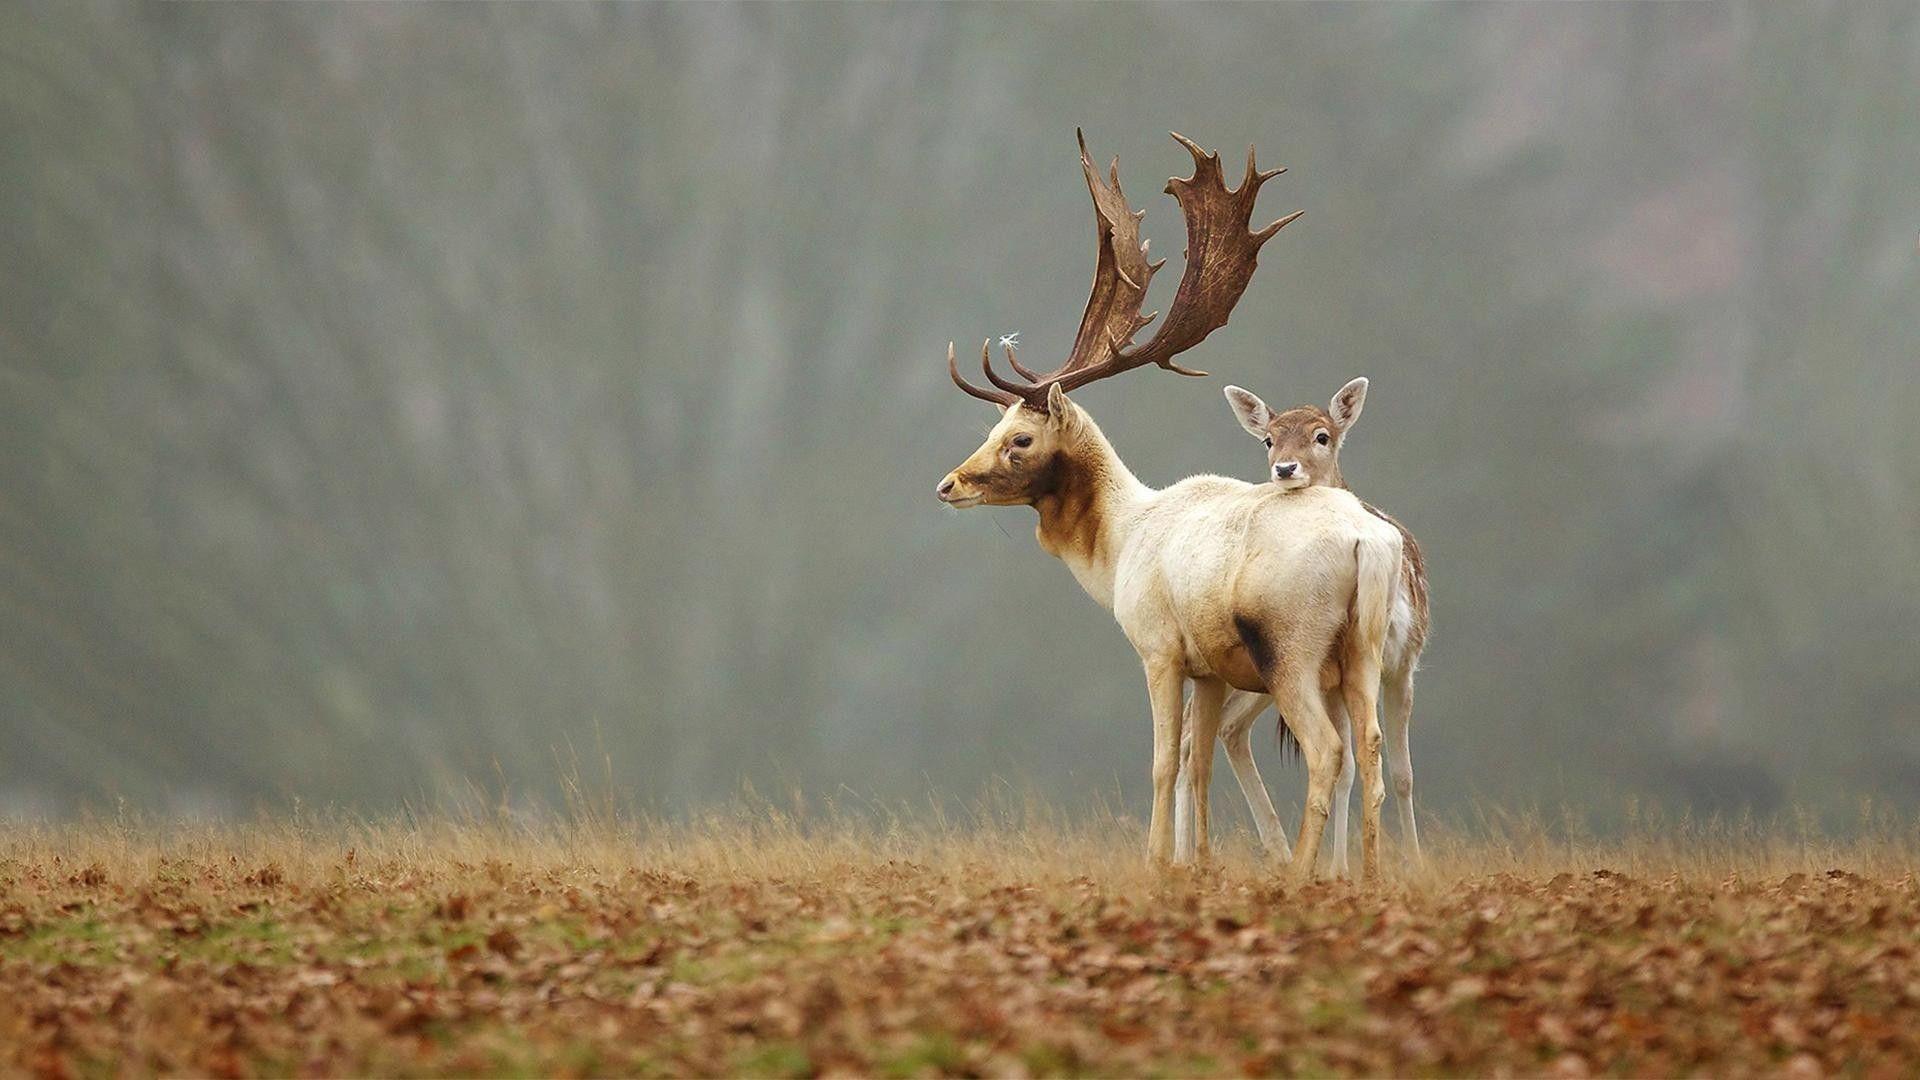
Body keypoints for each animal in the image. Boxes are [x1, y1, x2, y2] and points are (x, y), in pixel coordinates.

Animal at [934, 130, 1403, 881]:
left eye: (1020, 438)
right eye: (992, 426)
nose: (948, 484)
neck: (1120, 544)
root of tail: (1369, 543)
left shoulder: (1157, 646)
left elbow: (1161, 762)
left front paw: (1156, 861)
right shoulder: (1209, 667)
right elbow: (1197, 765)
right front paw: (1199, 863)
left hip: (1292, 646)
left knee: (1328, 751)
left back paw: (1300, 872)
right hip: (1363, 648)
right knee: (1374, 752)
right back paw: (1369, 875)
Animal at [1173, 377, 1432, 873]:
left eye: (1322, 436)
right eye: (1268, 439)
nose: (1285, 468)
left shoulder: (1404, 662)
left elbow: (1403, 773)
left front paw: (1409, 862)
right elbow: (1352, 767)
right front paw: (1339, 869)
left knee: (1218, 732)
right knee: (1198, 735)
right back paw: (1183, 858)